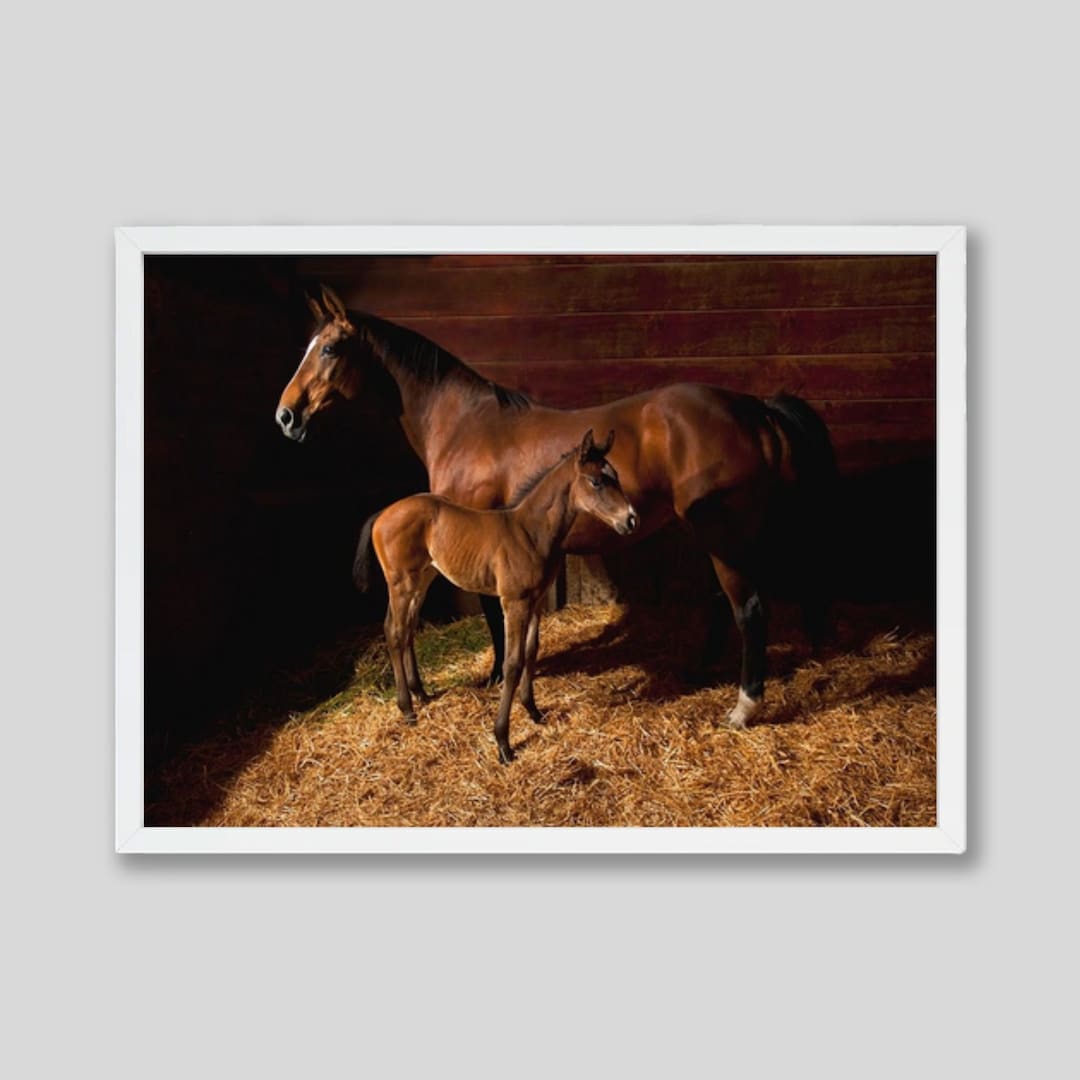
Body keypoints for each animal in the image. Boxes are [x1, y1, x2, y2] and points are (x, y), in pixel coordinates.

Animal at [277, 285, 837, 729]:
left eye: (329, 348)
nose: (286, 416)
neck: (464, 424)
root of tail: (754, 408)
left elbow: (494, 616)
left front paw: (498, 677)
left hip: (723, 535)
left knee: (750, 609)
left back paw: (744, 707)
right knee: (728, 603)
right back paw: (702, 672)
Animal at [371, 428, 636, 764]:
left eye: (616, 476)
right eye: (597, 481)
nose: (630, 519)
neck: (530, 533)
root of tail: (382, 515)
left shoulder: (535, 601)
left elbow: (531, 651)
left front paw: (533, 710)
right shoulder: (514, 603)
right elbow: (511, 663)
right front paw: (503, 741)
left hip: (423, 579)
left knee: (406, 631)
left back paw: (422, 693)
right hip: (401, 583)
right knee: (394, 632)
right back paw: (407, 709)